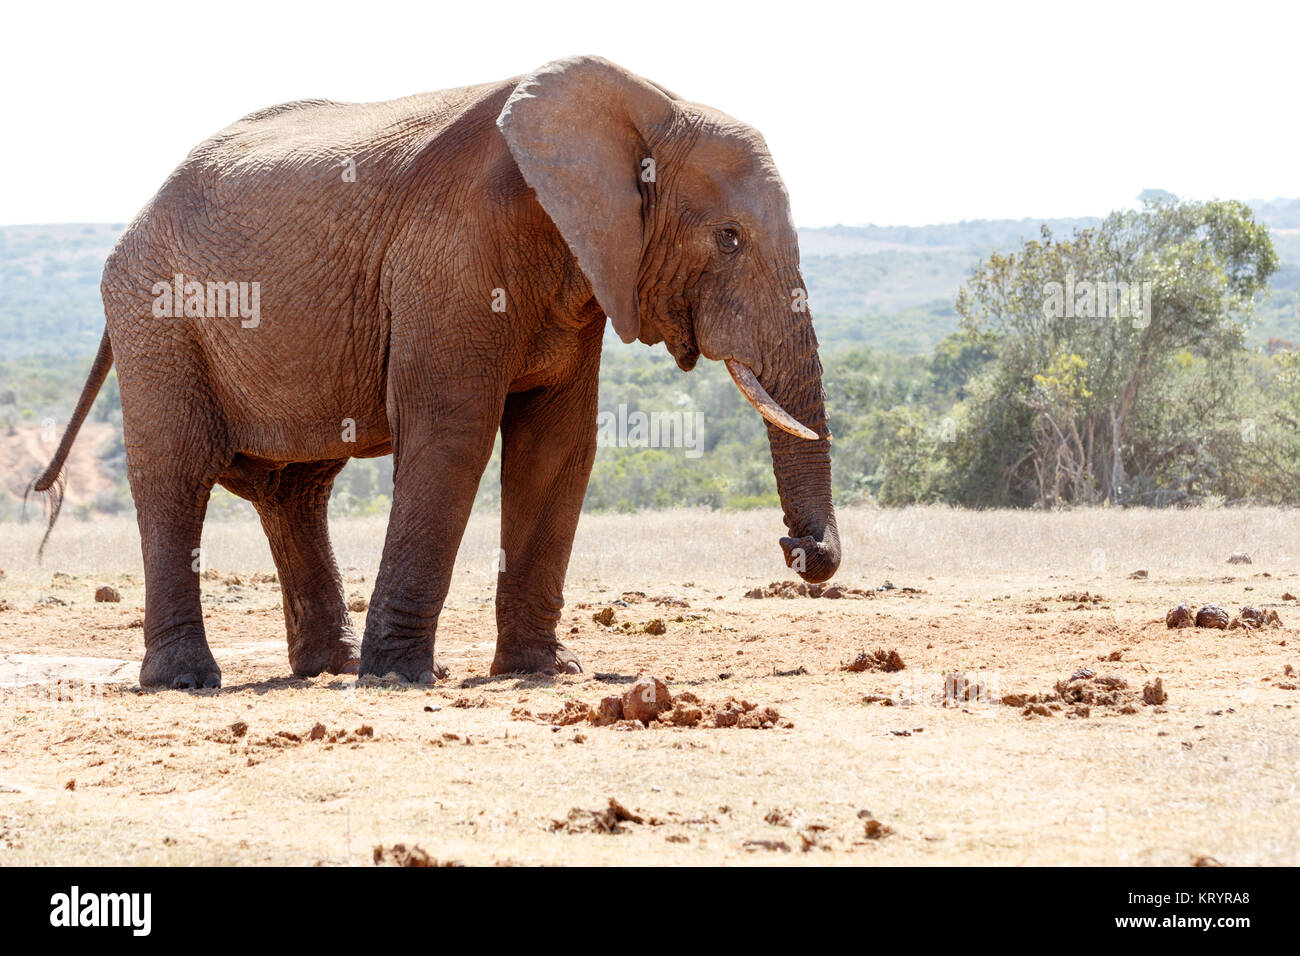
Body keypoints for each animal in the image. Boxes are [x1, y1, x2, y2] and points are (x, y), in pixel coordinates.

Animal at [31, 54, 841, 689]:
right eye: (729, 239)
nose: (800, 552)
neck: (650, 105)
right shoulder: (450, 254)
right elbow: (454, 433)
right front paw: (400, 678)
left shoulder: (583, 274)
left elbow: (557, 446)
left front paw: (541, 671)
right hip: (158, 317)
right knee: (177, 472)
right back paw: (190, 681)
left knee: (294, 491)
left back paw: (327, 668)